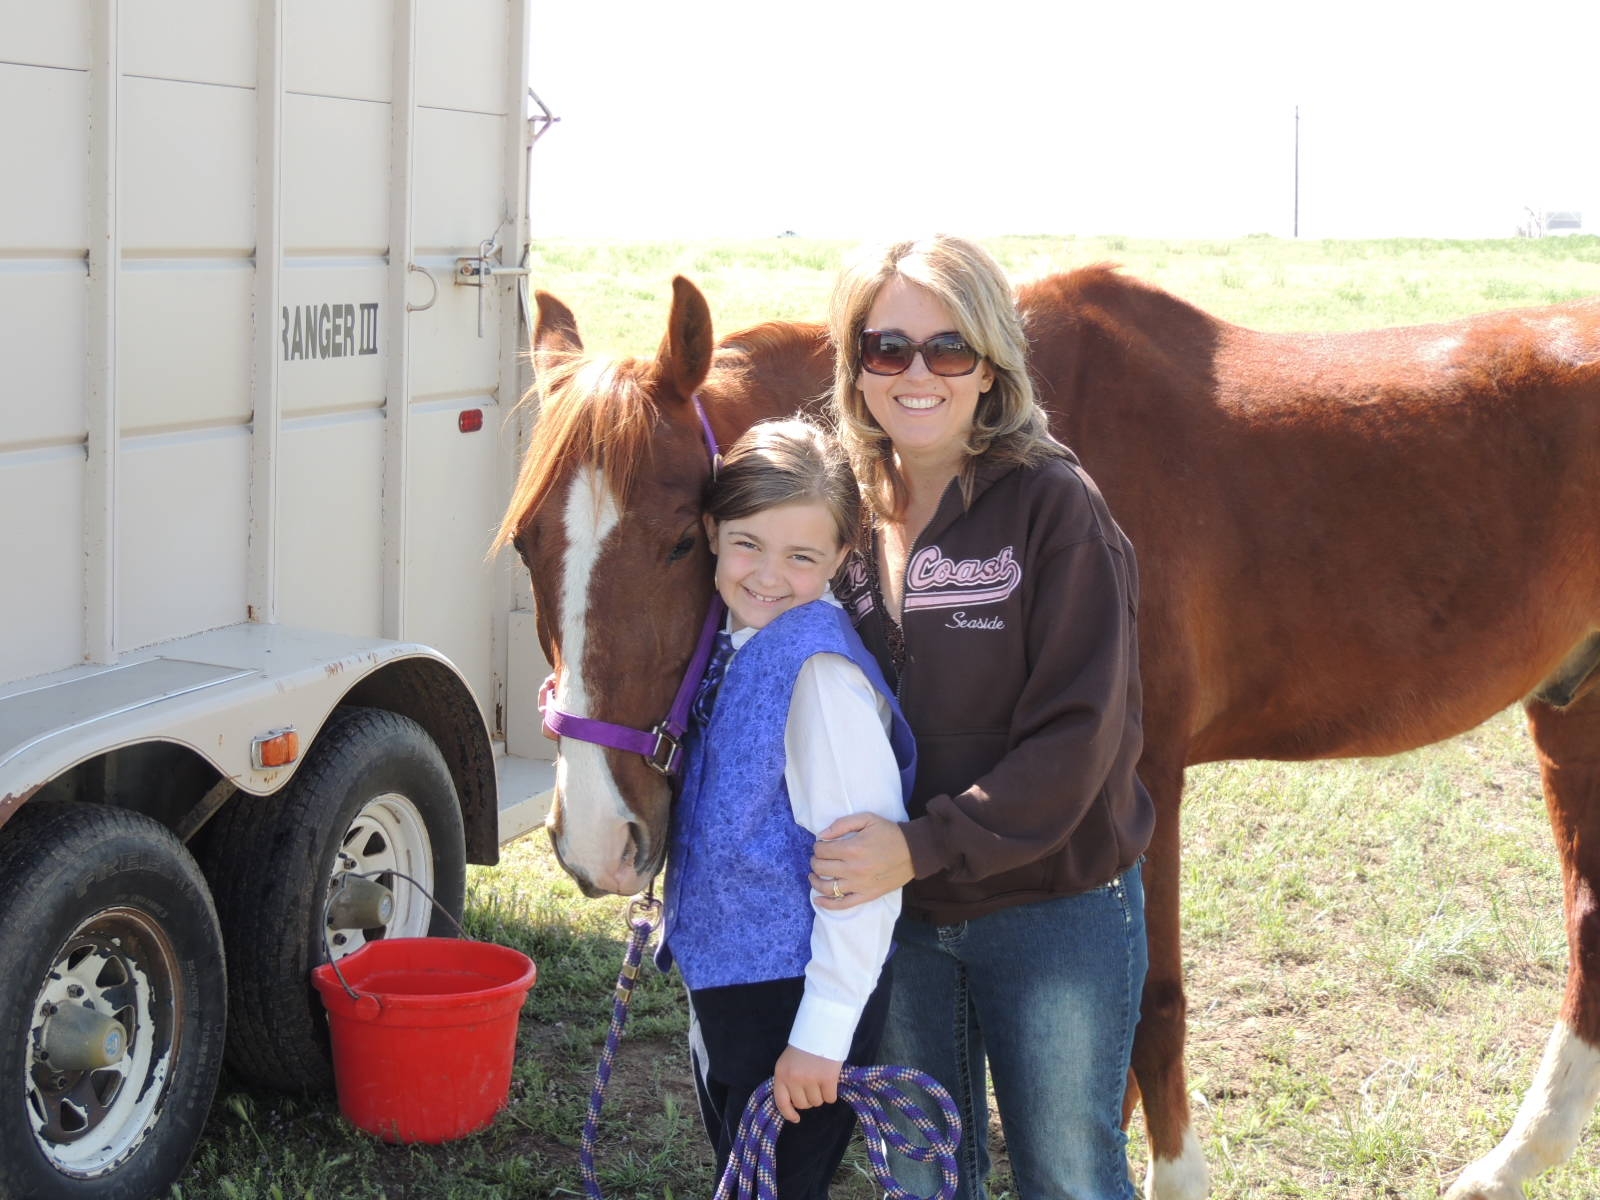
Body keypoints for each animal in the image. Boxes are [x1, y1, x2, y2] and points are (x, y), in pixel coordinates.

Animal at [495, 268, 1600, 1200]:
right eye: (526, 544)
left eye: (684, 540)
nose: (596, 841)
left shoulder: (1145, 783)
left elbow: (1151, 1012)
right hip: (1570, 709)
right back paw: (1517, 1161)